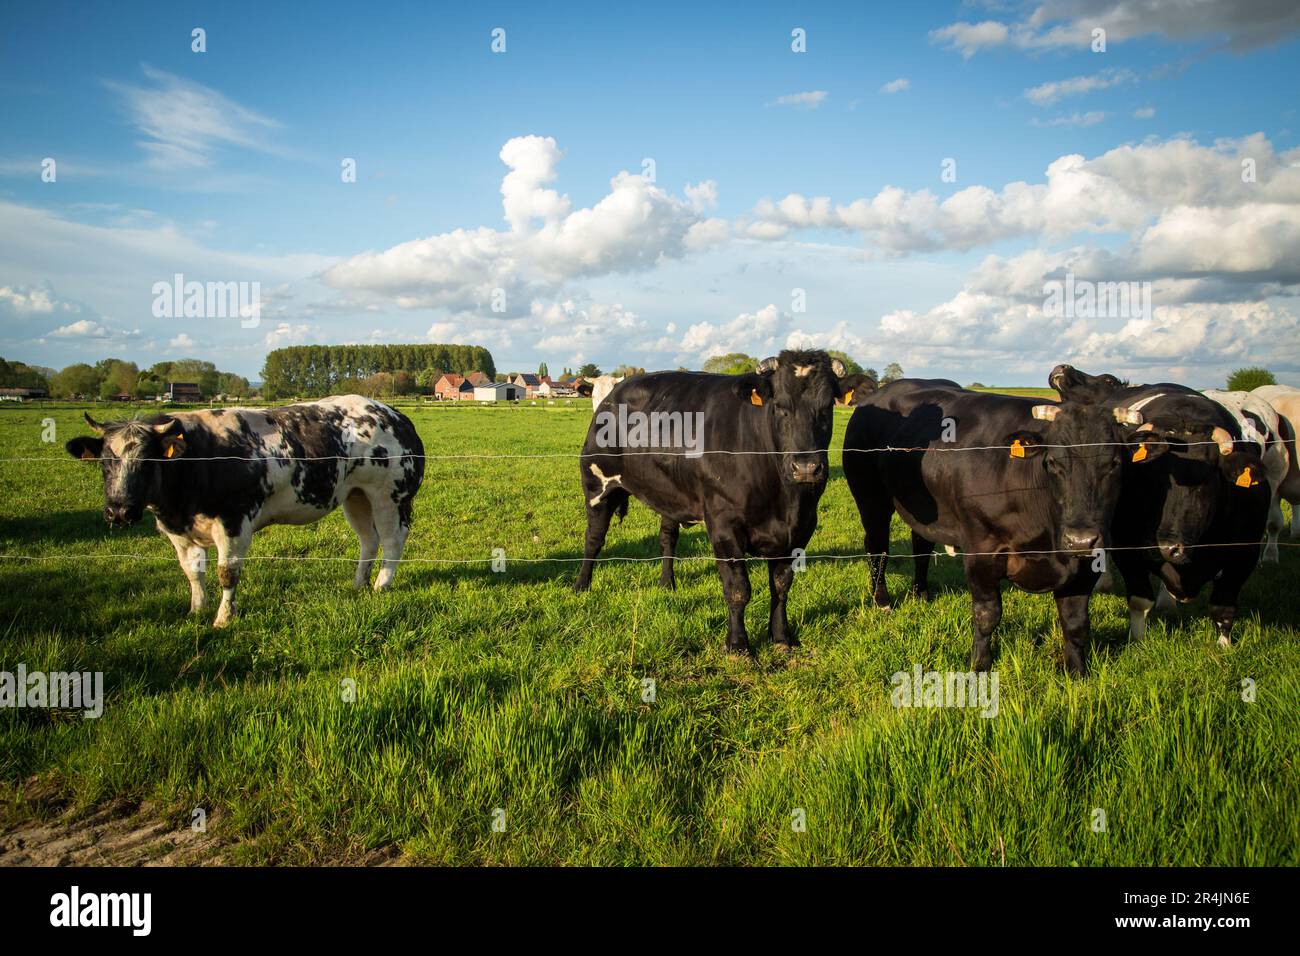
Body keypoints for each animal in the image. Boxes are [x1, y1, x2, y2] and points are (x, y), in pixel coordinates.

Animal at [65, 395, 425, 627]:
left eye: (147, 461)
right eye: (105, 463)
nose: (119, 512)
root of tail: (392, 414)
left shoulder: (234, 524)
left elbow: (227, 573)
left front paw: (224, 618)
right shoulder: (178, 532)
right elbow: (193, 572)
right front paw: (196, 610)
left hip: (390, 496)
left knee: (392, 541)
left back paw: (381, 584)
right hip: (355, 496)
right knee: (368, 540)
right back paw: (358, 583)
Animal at [574, 350, 875, 654]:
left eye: (826, 406)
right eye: (779, 405)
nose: (806, 468)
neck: (784, 499)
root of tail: (612, 396)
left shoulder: (802, 527)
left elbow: (781, 585)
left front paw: (781, 637)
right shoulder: (723, 525)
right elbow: (738, 589)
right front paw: (738, 645)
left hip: (670, 493)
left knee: (667, 538)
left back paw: (667, 583)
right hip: (596, 485)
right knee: (594, 539)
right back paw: (581, 585)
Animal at [842, 379, 1142, 676]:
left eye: (1114, 463)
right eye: (1053, 462)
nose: (1080, 540)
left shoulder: (1087, 563)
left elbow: (1076, 622)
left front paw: (1077, 672)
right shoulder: (981, 552)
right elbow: (987, 615)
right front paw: (979, 665)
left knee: (921, 546)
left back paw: (921, 593)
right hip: (871, 498)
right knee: (878, 546)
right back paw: (881, 599)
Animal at [1052, 367, 1271, 647]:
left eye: (1210, 477)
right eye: (1152, 473)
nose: (1166, 546)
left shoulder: (1245, 553)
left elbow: (1223, 608)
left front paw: (1224, 647)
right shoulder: (1129, 550)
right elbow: (1139, 599)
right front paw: (1138, 641)